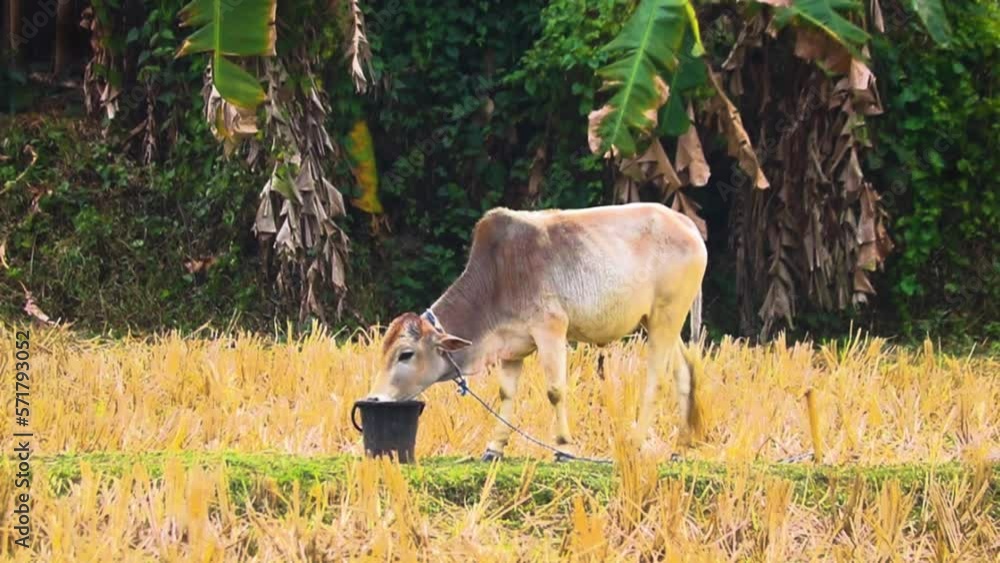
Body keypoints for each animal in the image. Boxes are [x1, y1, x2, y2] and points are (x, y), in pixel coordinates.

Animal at [365, 202, 707, 461]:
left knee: (656, 380)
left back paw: (636, 442)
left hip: (666, 317)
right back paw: (681, 447)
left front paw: (564, 448)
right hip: (660, 321)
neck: (498, 278)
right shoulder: (511, 347)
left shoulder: (551, 329)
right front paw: (494, 448)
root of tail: (687, 225)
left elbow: (555, 390)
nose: (375, 398)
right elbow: (506, 393)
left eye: (405, 354)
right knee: (684, 374)